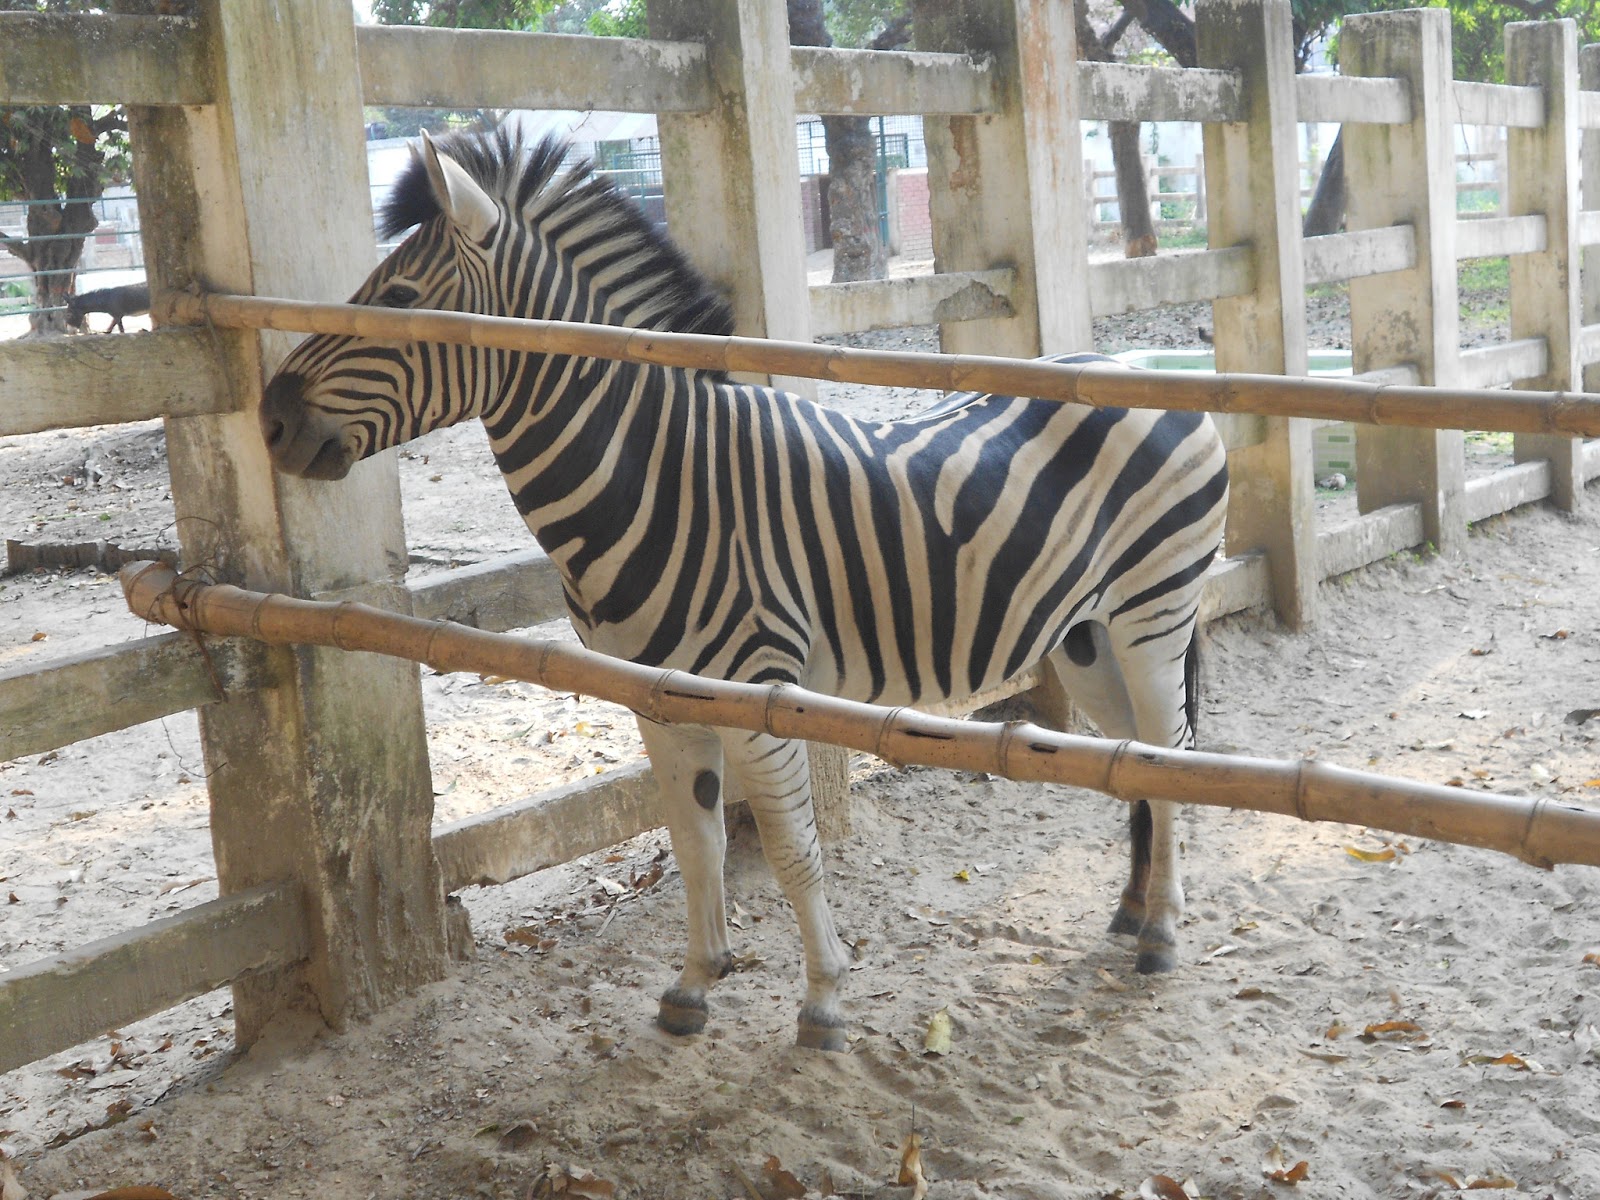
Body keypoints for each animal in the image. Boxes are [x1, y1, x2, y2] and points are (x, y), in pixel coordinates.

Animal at [260, 130, 1230, 1052]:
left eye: (396, 298)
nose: (267, 418)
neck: (660, 479)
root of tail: (1142, 371)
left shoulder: (763, 694)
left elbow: (796, 851)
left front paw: (824, 1000)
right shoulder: (656, 698)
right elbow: (698, 847)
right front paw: (695, 985)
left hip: (1153, 610)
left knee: (1174, 754)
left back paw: (1162, 935)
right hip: (1086, 633)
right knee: (1135, 759)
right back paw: (1135, 910)